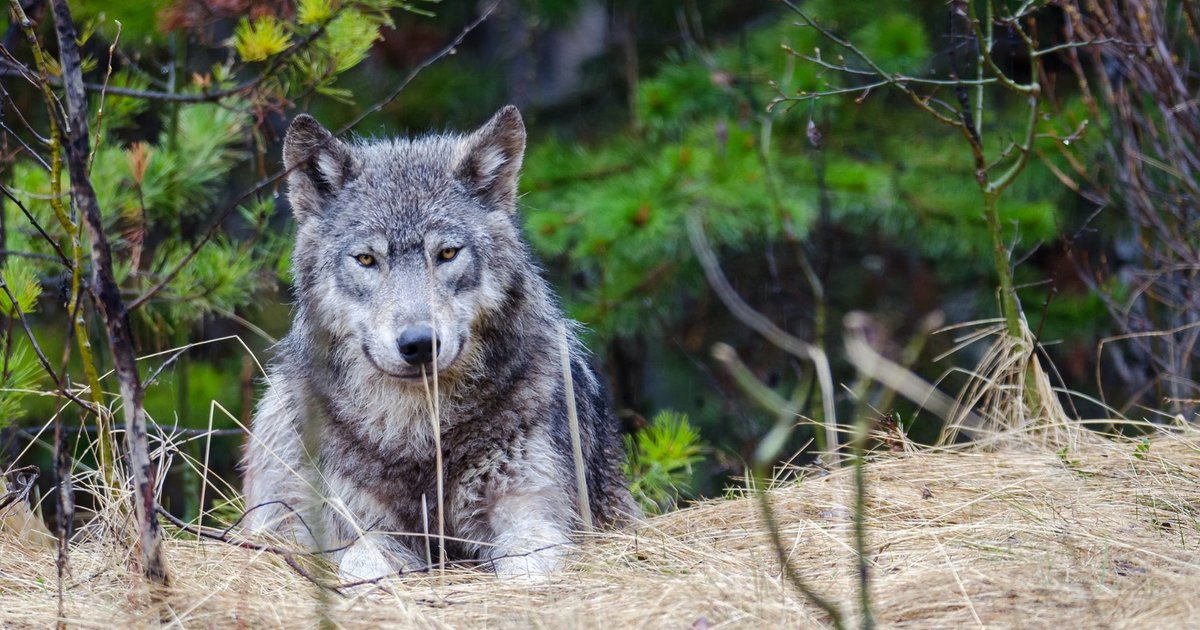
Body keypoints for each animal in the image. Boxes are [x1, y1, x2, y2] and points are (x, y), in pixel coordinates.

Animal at [242, 106, 638, 581]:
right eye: (367, 259)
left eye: (447, 253)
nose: (418, 344)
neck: (417, 433)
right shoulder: (356, 521)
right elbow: (360, 559)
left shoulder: (532, 512)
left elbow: (527, 566)